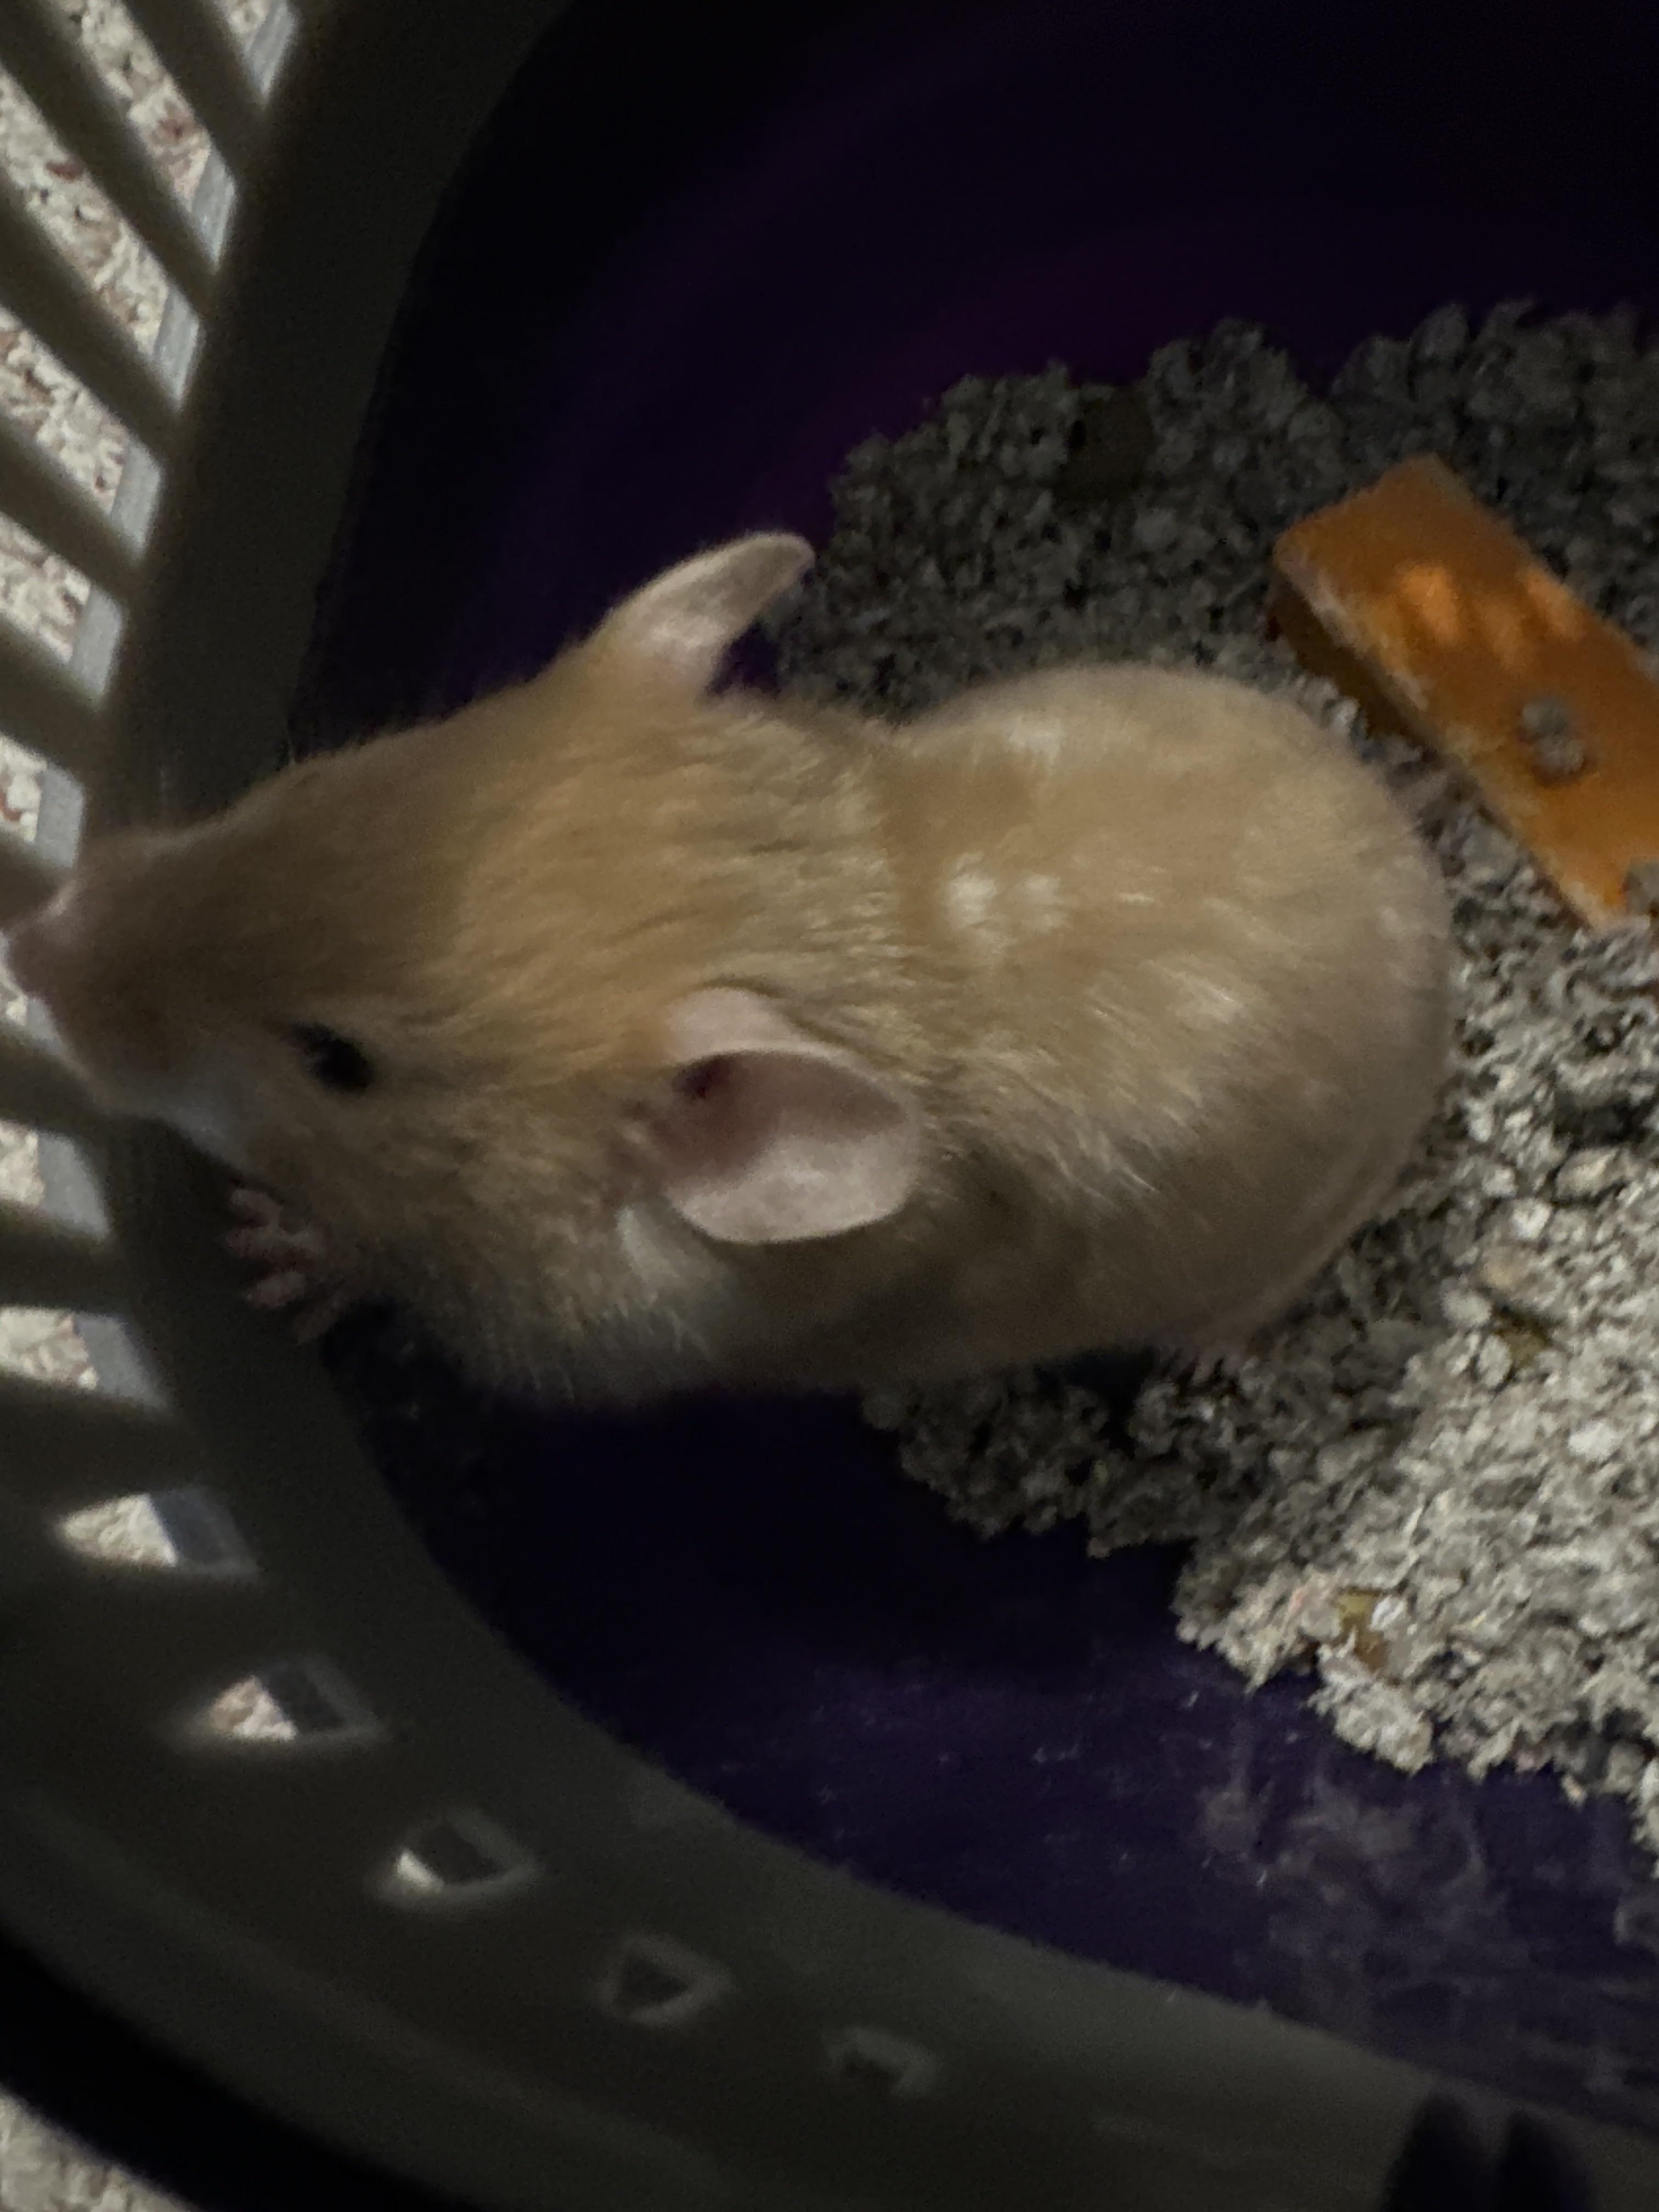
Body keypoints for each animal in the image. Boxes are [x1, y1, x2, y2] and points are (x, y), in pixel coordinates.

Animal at [5, 534, 1450, 1405]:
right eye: (328, 779)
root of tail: (1416, 864)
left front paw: (273, 1255)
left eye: (335, 1062)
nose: (33, 943)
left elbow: (380, 1269)